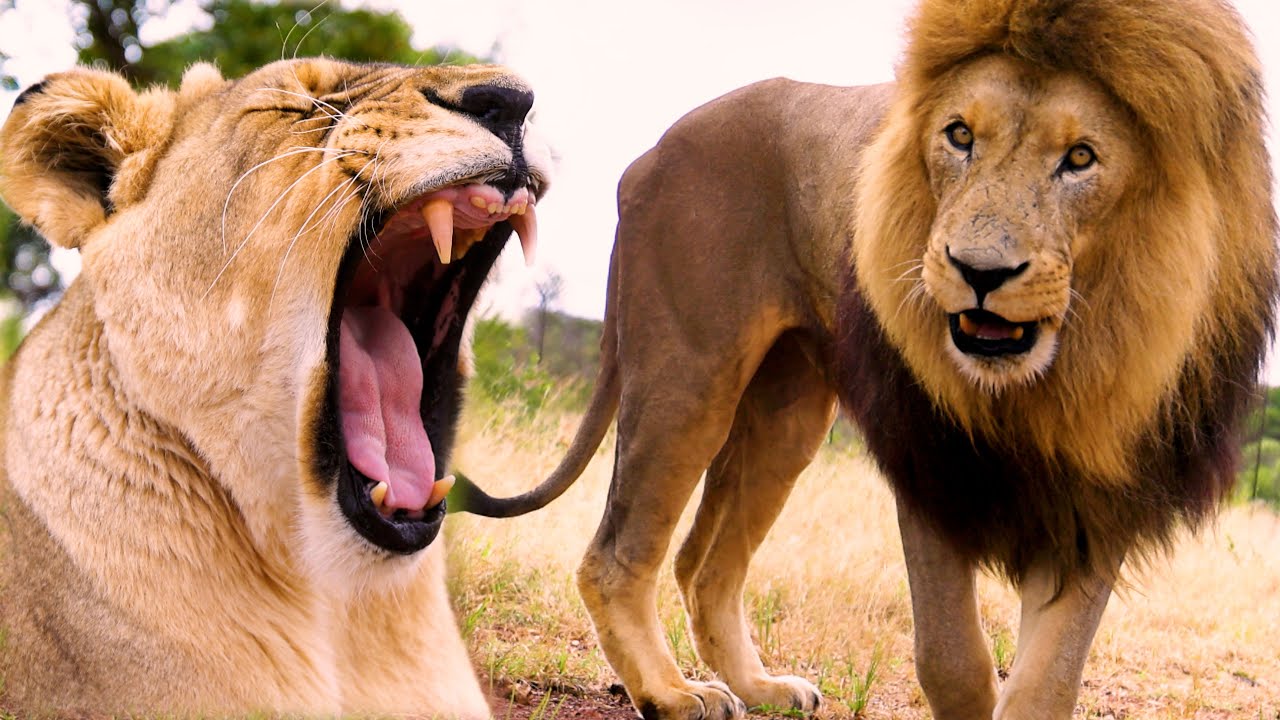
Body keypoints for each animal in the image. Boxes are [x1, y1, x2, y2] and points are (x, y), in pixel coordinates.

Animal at [453, 0, 1277, 717]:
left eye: (1081, 159)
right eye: (959, 136)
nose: (978, 271)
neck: (1045, 378)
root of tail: (651, 152)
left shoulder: (1101, 491)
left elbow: (1047, 678)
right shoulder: (930, 456)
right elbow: (954, 660)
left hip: (787, 414)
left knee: (703, 564)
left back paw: (759, 687)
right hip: (688, 373)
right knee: (618, 554)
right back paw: (675, 695)